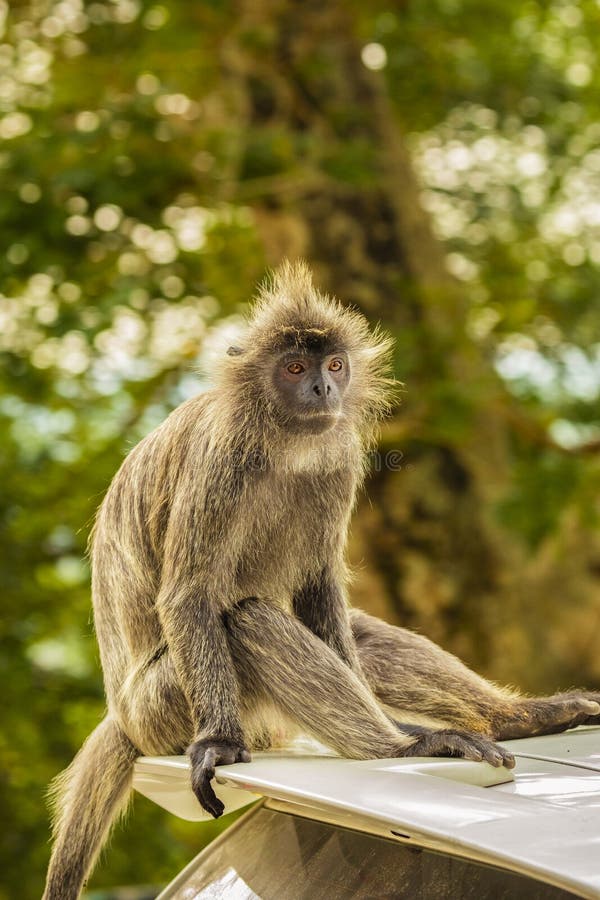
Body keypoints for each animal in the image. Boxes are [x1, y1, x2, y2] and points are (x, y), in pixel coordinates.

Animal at [43, 261, 600, 900]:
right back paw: (409, 745)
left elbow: (319, 590)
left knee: (354, 634)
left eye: (333, 365)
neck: (280, 439)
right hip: (167, 708)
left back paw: (516, 720)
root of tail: (123, 717)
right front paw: (218, 745)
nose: (322, 391)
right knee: (245, 618)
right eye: (293, 368)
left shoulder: (338, 458)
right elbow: (190, 595)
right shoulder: (219, 458)